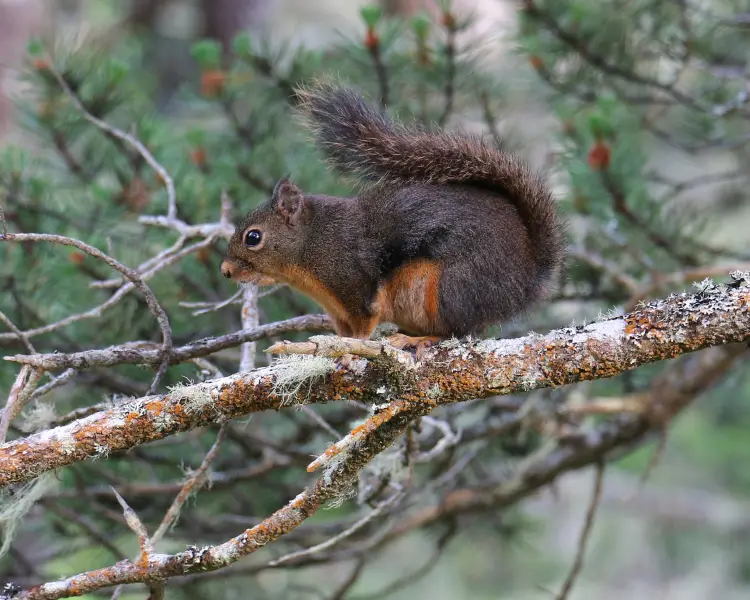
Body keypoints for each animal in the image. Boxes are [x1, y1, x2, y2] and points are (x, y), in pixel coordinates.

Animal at [220, 82, 565, 350]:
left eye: (253, 237)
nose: (225, 271)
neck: (312, 242)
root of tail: (527, 277)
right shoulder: (337, 310)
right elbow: (342, 330)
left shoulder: (354, 285)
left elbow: (362, 326)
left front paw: (352, 348)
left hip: (453, 287)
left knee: (455, 331)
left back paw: (419, 339)